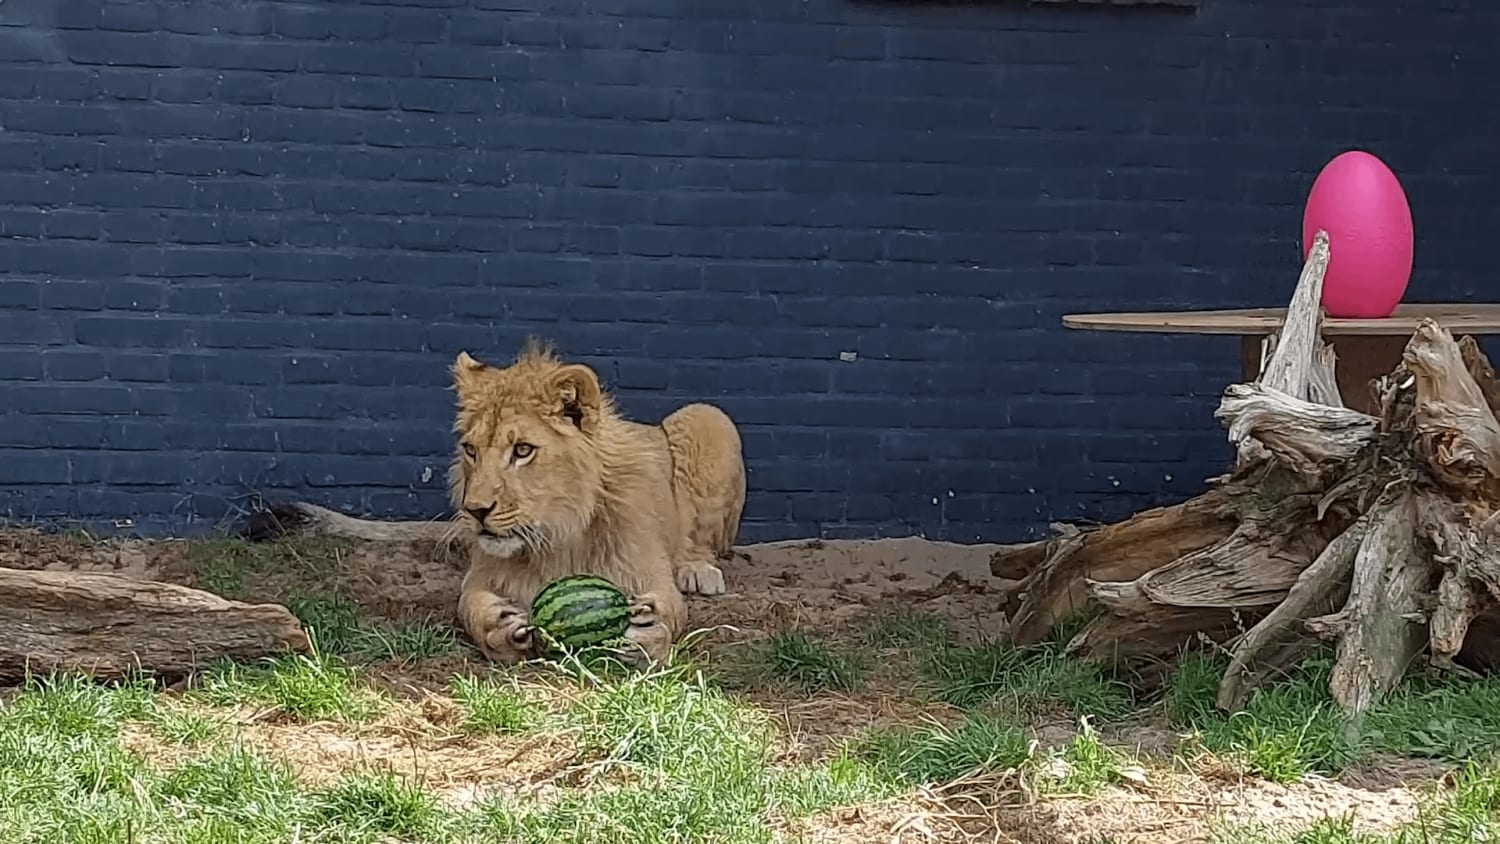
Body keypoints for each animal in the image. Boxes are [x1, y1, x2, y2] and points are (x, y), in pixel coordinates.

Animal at [449, 339, 746, 665]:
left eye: (523, 450)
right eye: (471, 450)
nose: (475, 511)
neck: (560, 534)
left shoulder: (649, 570)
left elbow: (672, 609)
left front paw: (649, 632)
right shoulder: (481, 573)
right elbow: (467, 605)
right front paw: (498, 626)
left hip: (708, 417)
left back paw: (698, 571)